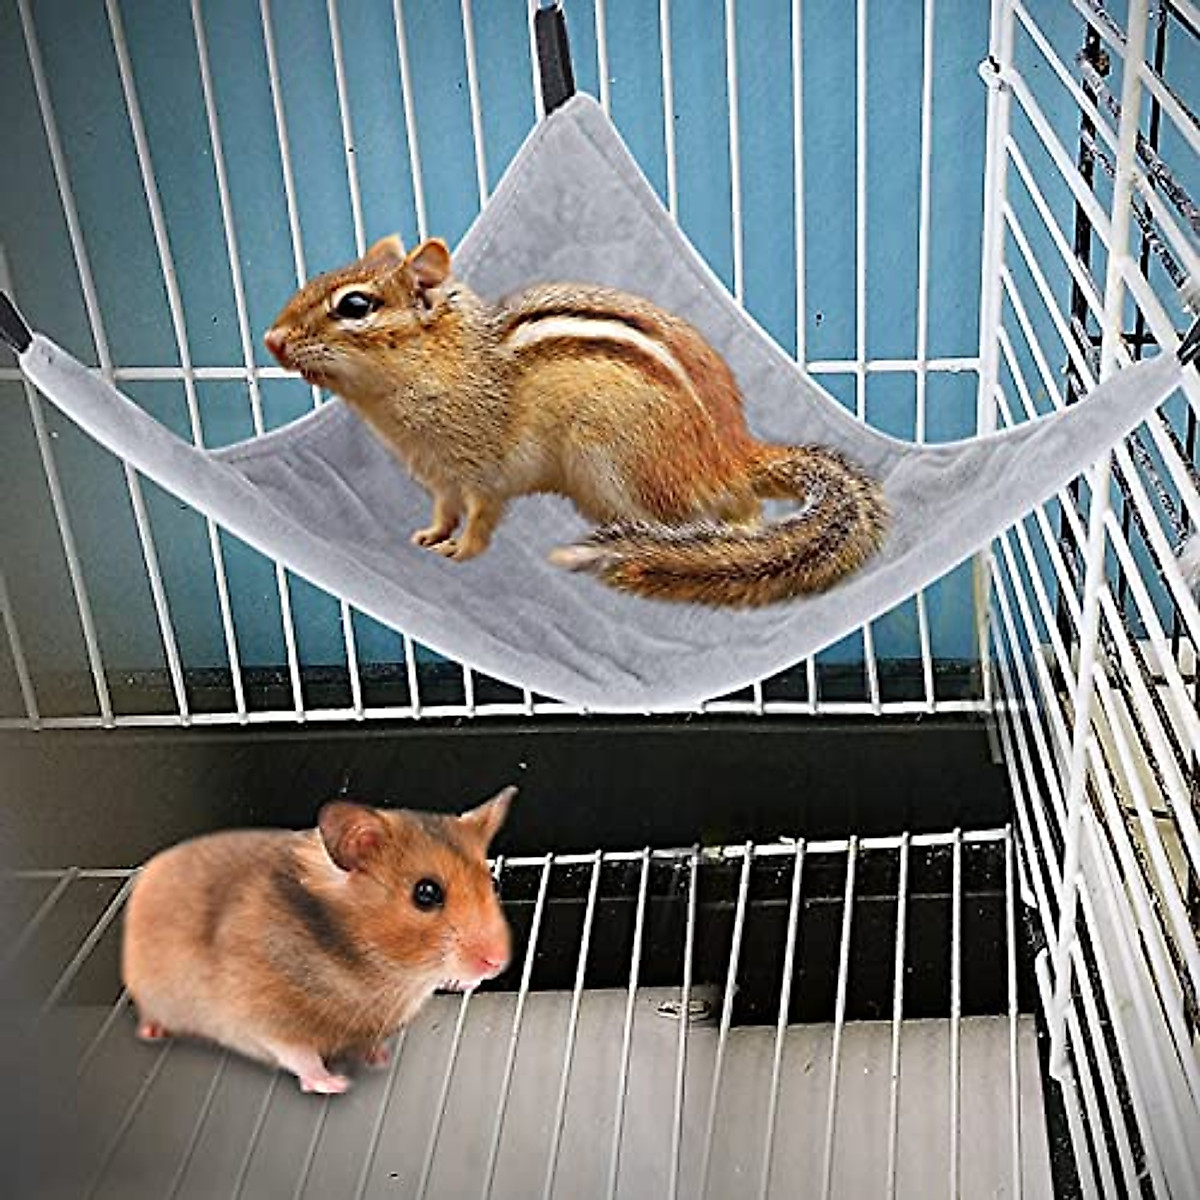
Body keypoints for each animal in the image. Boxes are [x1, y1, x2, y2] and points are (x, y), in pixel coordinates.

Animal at [120, 786, 514, 1094]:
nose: (497, 963)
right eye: (426, 893)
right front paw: (336, 1084)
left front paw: (379, 1058)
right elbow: (299, 1054)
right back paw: (152, 1032)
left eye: (492, 882)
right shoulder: (260, 1016)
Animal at [264, 235, 888, 608]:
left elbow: (481, 517)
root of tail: (731, 453)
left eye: (355, 305)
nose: (271, 339)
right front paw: (429, 536)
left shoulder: (483, 471)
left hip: (614, 467)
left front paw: (461, 552)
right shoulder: (439, 477)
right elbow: (442, 510)